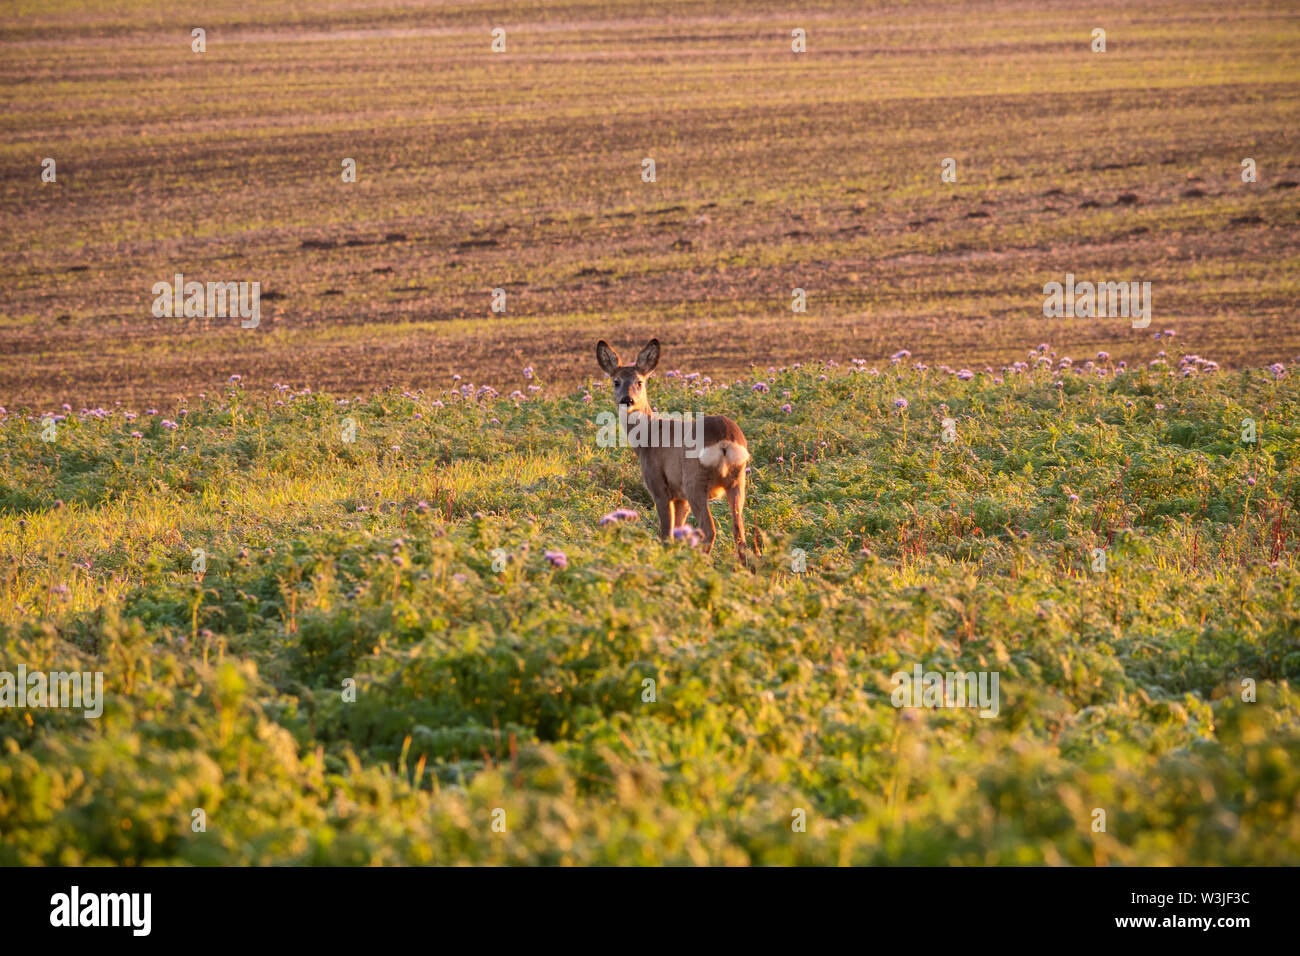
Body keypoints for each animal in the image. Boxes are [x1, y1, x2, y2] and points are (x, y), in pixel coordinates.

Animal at [596, 338, 753, 558]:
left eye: (639, 382)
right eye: (616, 381)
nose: (627, 400)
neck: (647, 441)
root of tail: (726, 440)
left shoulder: (659, 486)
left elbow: (666, 533)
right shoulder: (680, 497)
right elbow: (678, 531)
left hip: (694, 481)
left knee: (710, 529)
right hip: (738, 481)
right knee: (739, 532)